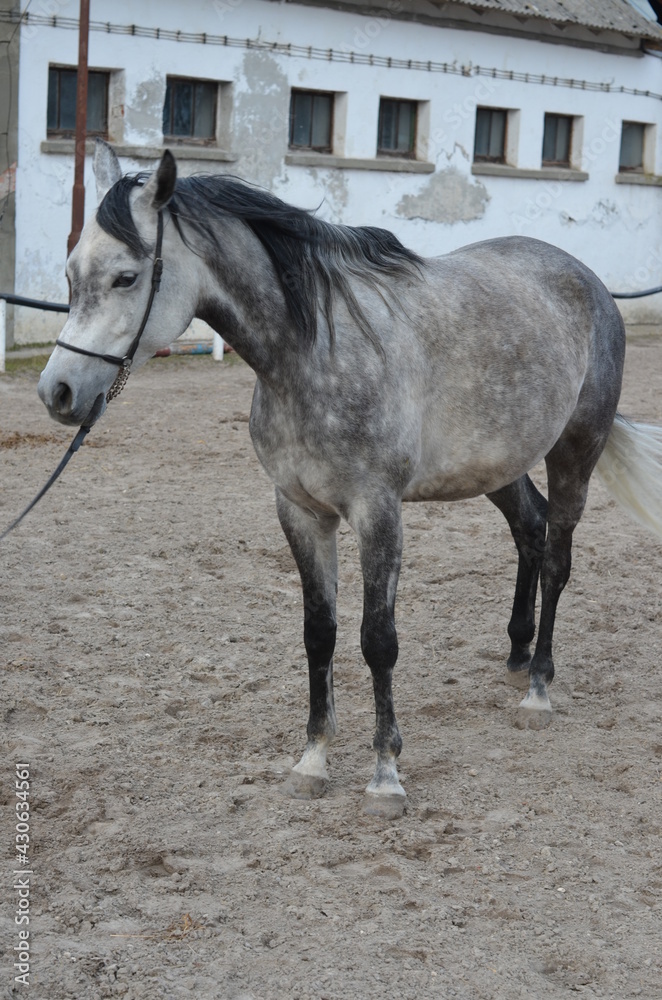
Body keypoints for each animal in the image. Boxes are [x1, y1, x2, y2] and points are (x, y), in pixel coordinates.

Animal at [37, 140, 662, 818]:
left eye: (126, 277)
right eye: (70, 276)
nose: (58, 392)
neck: (314, 351)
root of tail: (589, 281)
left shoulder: (377, 511)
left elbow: (377, 640)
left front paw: (385, 774)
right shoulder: (300, 511)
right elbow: (320, 634)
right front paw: (312, 761)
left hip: (576, 450)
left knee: (556, 557)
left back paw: (539, 689)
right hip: (499, 463)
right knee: (530, 527)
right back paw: (518, 656)